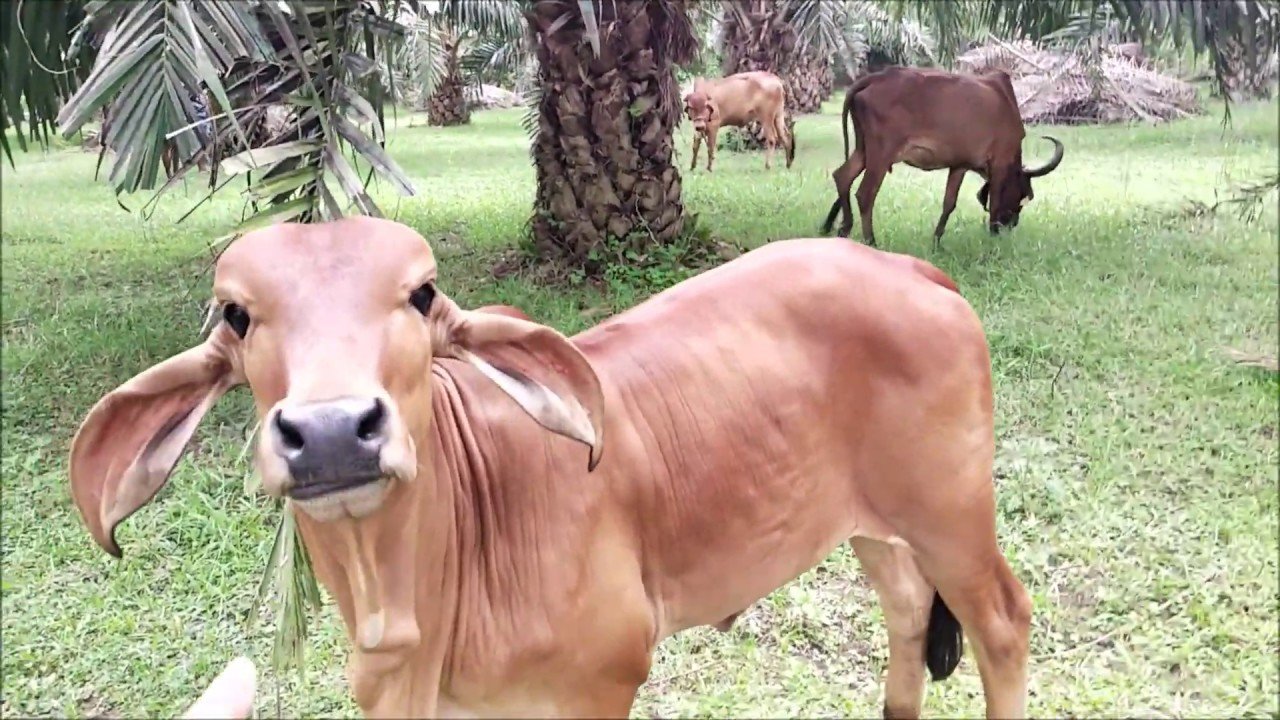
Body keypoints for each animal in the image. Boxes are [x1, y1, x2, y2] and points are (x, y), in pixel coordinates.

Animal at [68, 217, 1031, 719]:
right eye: (235, 314)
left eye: (421, 293)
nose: (336, 430)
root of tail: (910, 266)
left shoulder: (601, 679)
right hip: (876, 523)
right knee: (908, 612)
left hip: (952, 513)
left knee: (1002, 623)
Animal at [820, 66, 1064, 250]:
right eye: (1023, 196)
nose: (1011, 224)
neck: (1006, 103)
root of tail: (878, 76)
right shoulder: (1000, 164)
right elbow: (994, 203)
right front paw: (993, 237)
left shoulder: (959, 165)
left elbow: (949, 203)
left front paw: (937, 243)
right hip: (881, 155)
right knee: (865, 194)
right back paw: (871, 241)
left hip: (864, 150)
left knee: (842, 176)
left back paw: (842, 229)